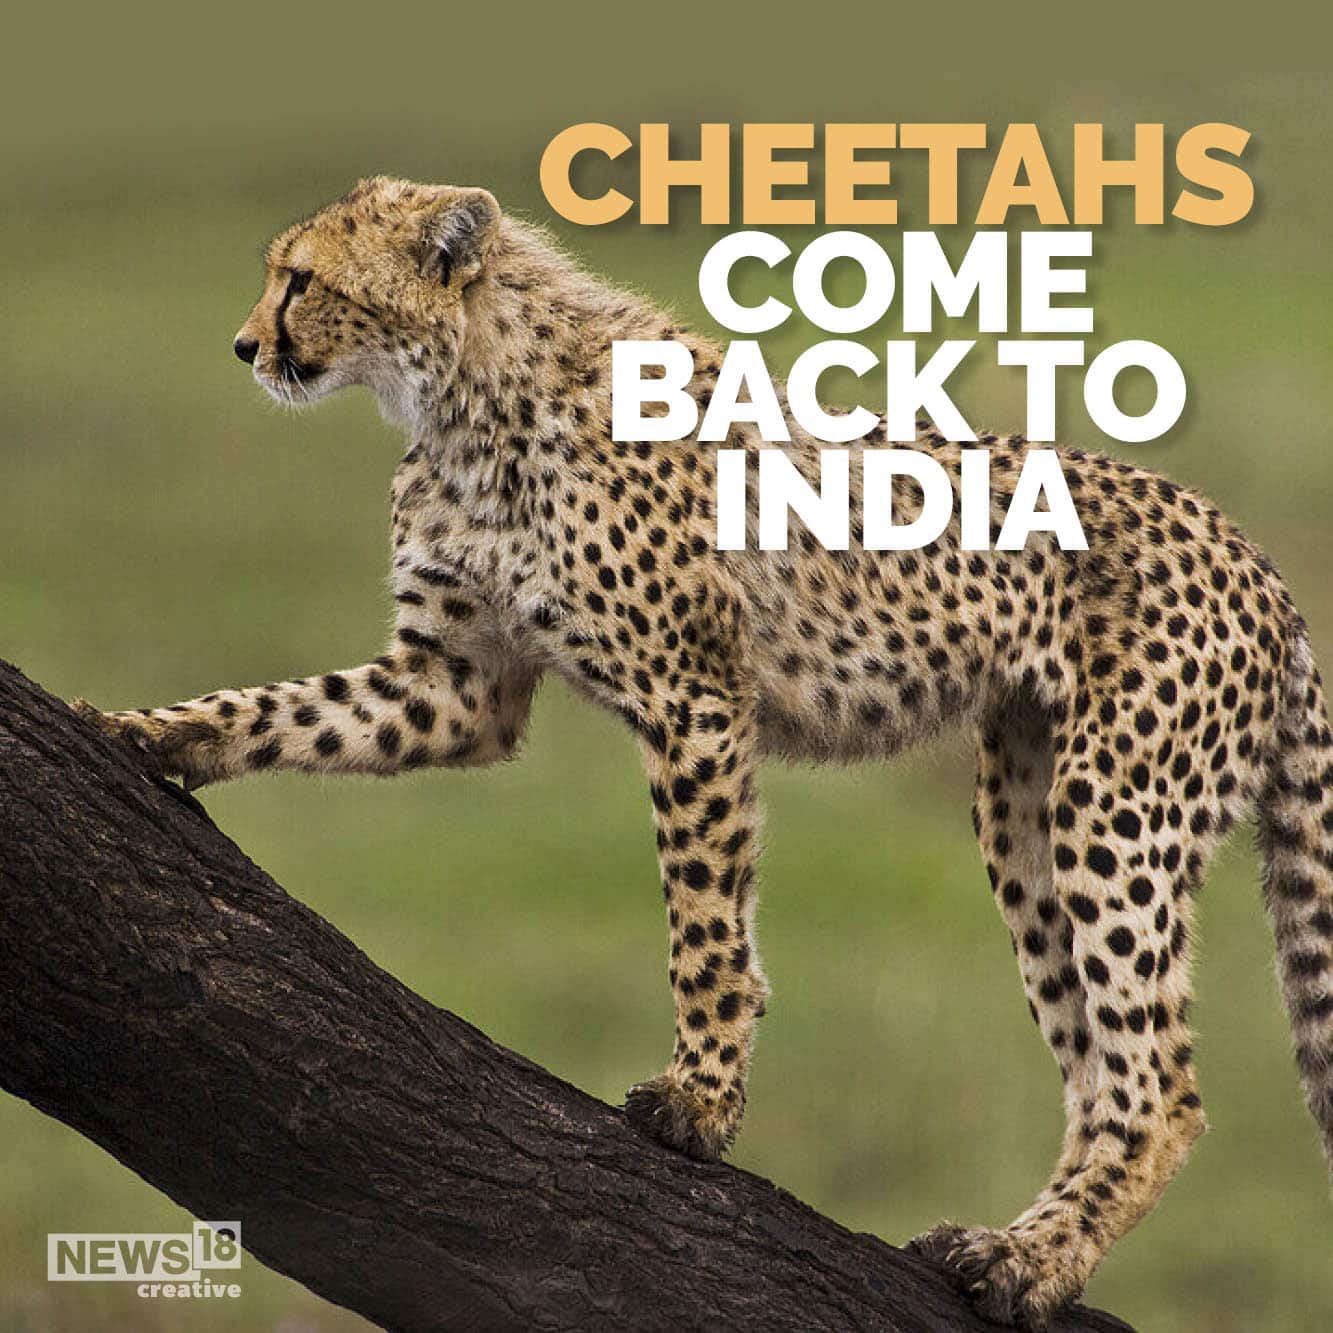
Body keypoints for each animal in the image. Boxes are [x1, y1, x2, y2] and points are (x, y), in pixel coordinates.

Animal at [75, 177, 1333, 1327]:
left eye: (300, 281)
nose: (246, 345)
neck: (467, 389)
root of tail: (1259, 563)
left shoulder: (694, 701)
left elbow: (703, 927)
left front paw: (698, 1105)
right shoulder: (453, 688)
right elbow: (286, 707)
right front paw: (139, 734)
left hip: (1113, 806)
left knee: (1159, 1087)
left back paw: (1031, 1263)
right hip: (1024, 809)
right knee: (1098, 1069)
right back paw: (1022, 1248)